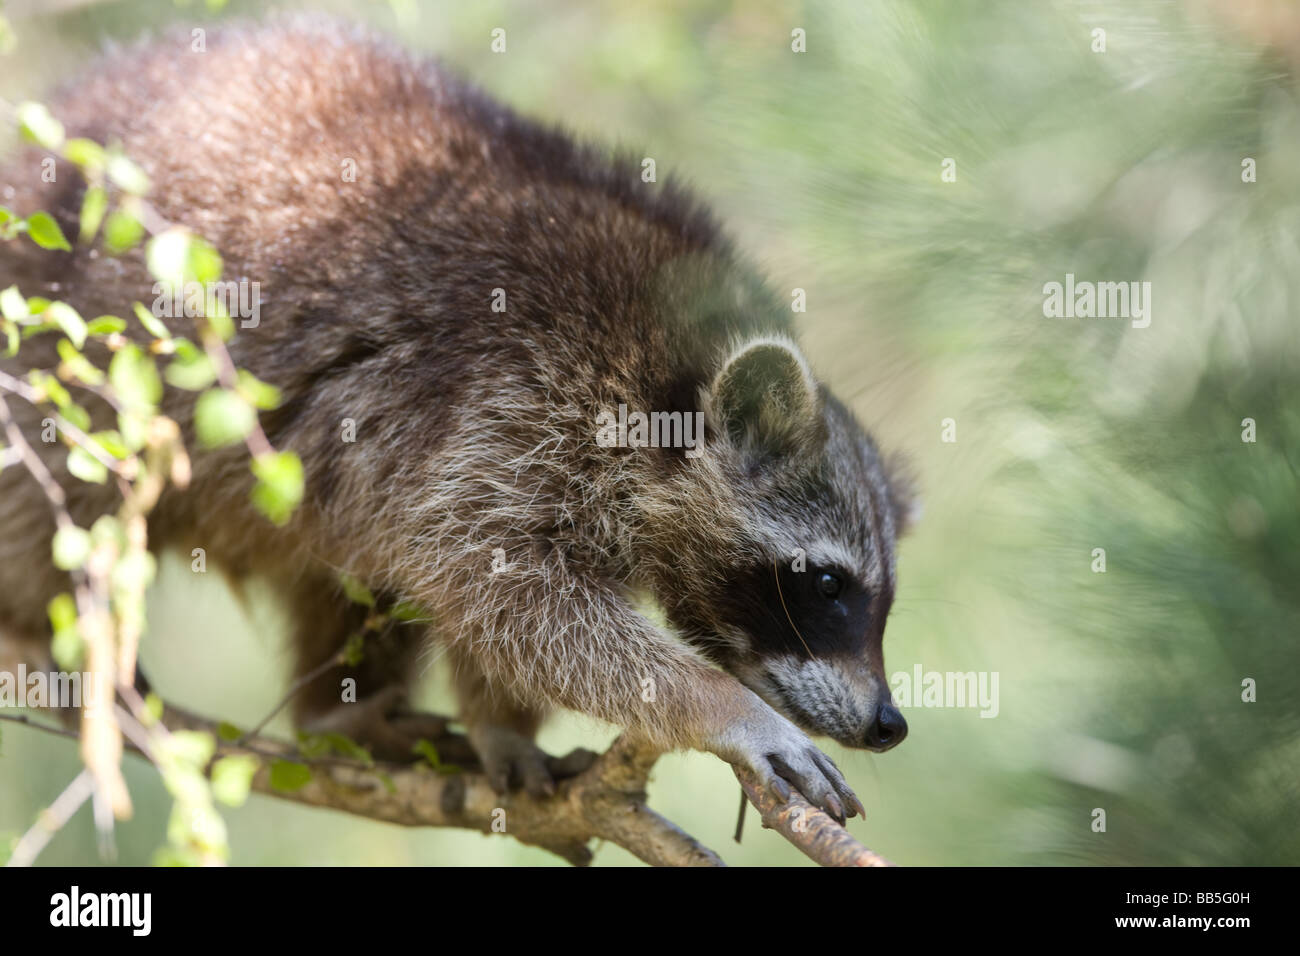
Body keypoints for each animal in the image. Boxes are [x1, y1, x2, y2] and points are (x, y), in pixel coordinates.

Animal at [0, 17, 913, 822]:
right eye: (826, 584)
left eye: (881, 597)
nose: (889, 723)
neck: (666, 374)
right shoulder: (511, 396)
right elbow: (502, 591)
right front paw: (719, 703)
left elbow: (484, 598)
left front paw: (500, 725)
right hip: (56, 340)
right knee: (48, 505)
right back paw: (39, 624)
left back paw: (339, 709)